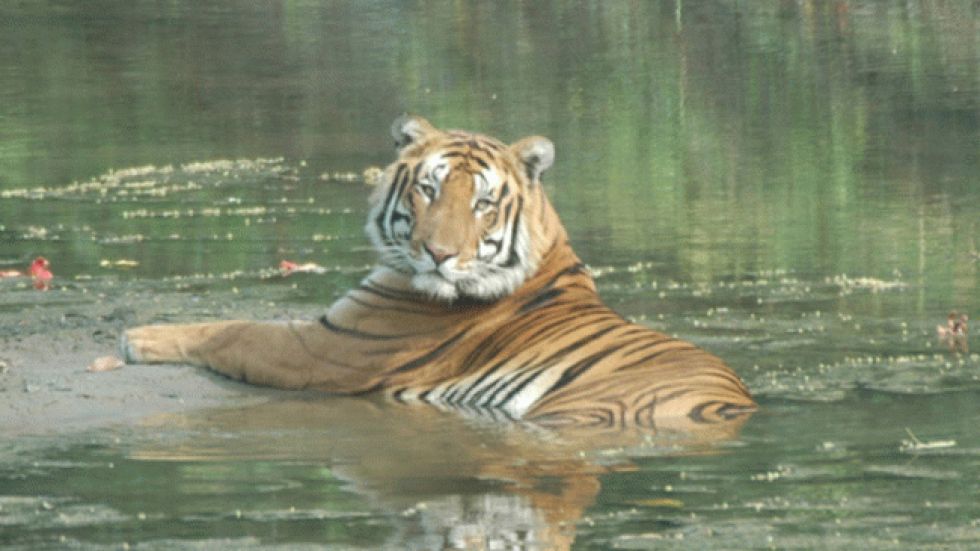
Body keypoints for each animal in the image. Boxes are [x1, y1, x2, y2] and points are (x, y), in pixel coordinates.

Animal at [121, 115, 756, 429]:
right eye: (428, 189)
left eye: (482, 203)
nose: (439, 254)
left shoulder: (324, 348)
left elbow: (231, 329)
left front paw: (134, 338)